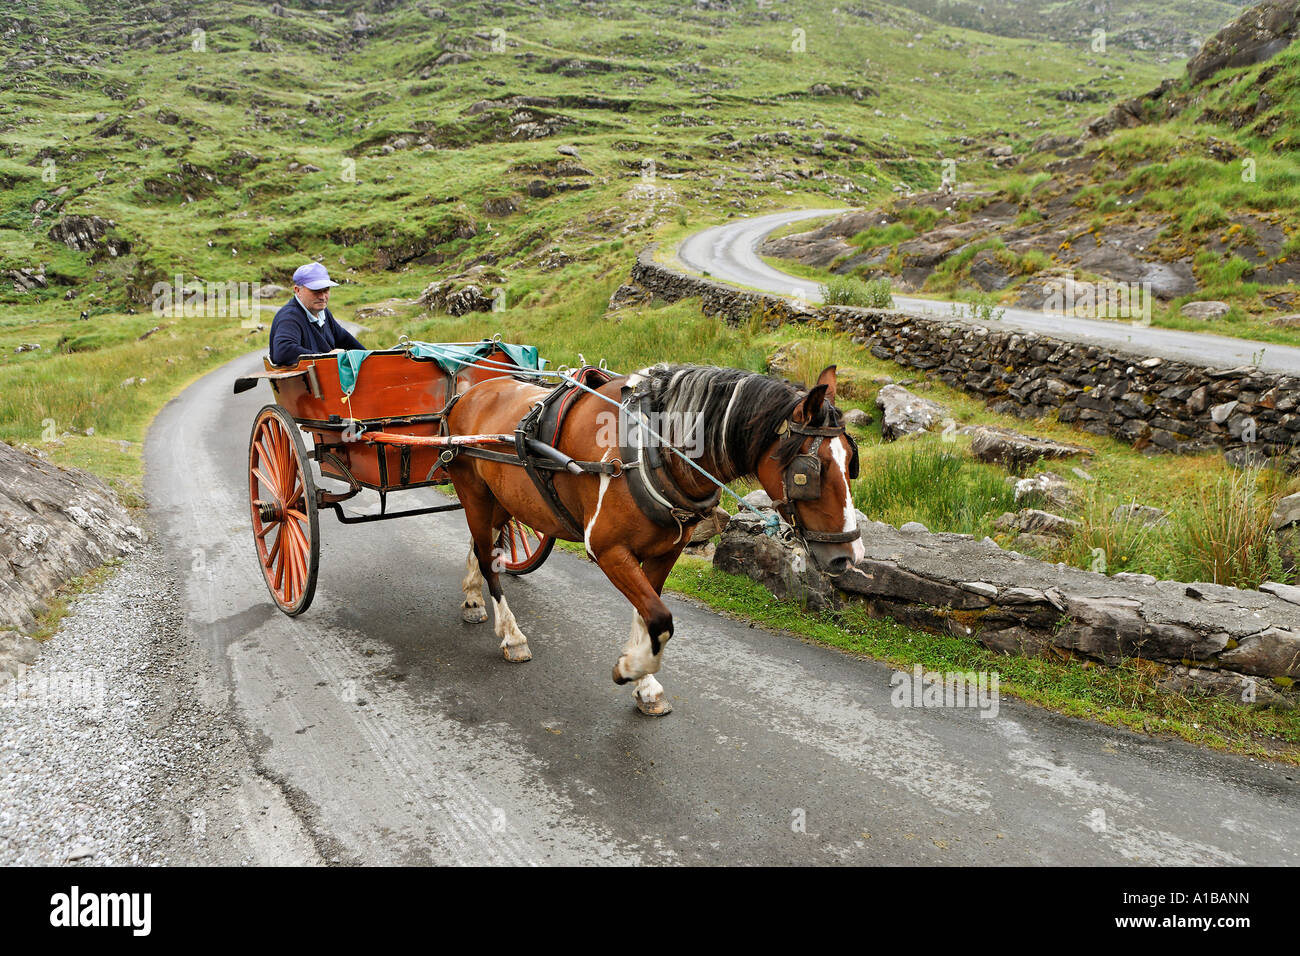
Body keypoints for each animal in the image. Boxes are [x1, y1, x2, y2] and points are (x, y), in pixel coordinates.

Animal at [444, 362, 865, 715]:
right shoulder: (608, 550)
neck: (651, 447)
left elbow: (648, 614)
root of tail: (471, 392)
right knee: (489, 559)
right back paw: (511, 635)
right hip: (474, 492)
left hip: (502, 499)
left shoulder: (667, 551)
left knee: (484, 546)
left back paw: (473, 597)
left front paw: (645, 685)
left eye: (851, 462)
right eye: (811, 470)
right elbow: (660, 617)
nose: (850, 555)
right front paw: (631, 669)